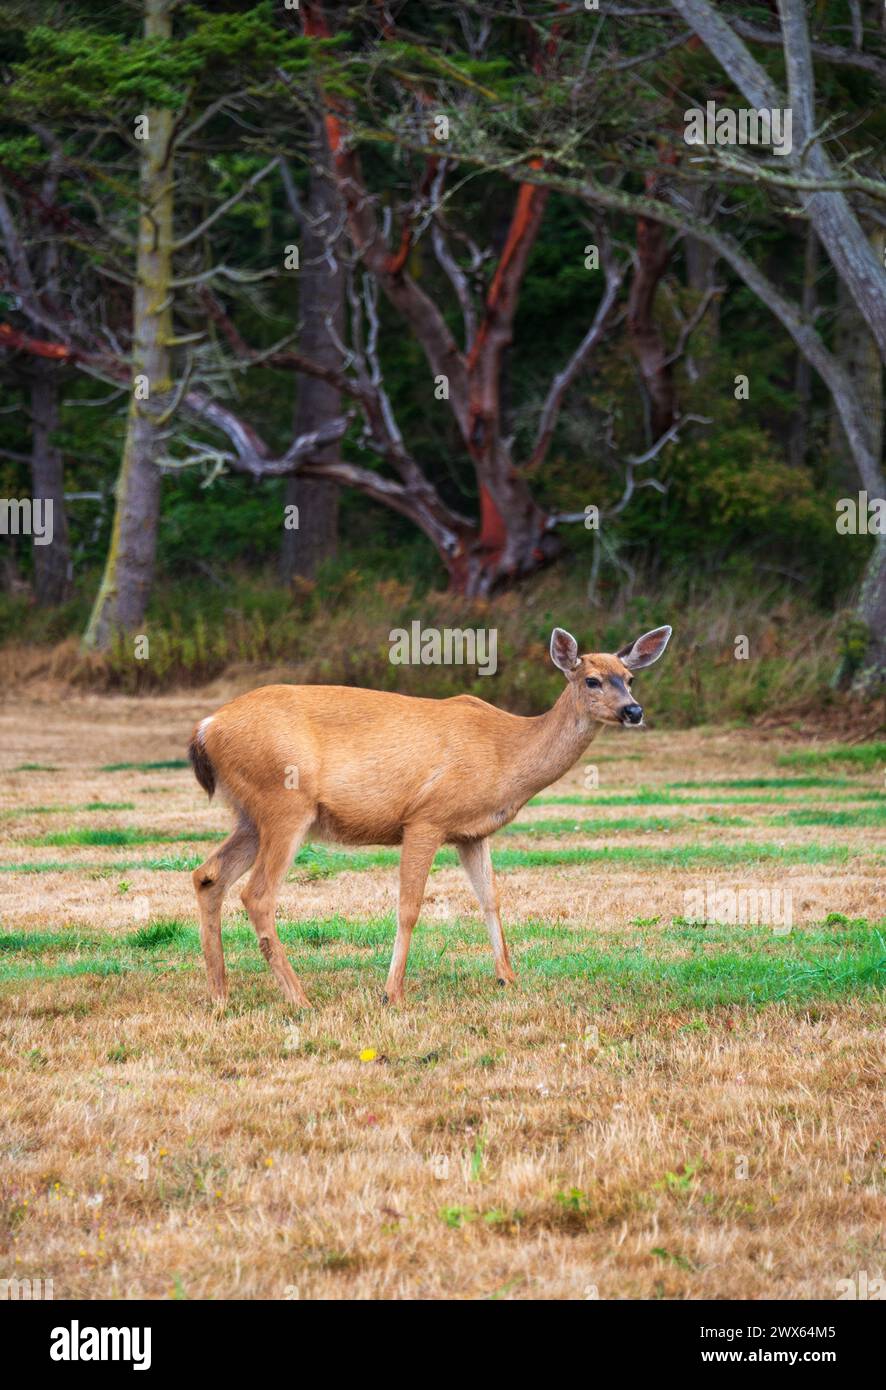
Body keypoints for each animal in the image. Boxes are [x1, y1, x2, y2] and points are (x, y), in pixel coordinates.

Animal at [188, 624, 672, 1009]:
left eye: (629, 678)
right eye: (592, 680)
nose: (634, 710)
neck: (505, 754)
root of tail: (206, 728)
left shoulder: (472, 833)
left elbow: (491, 898)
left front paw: (507, 978)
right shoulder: (425, 818)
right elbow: (409, 907)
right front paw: (392, 993)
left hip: (250, 814)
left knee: (208, 875)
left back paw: (220, 993)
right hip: (285, 802)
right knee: (257, 894)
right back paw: (299, 997)